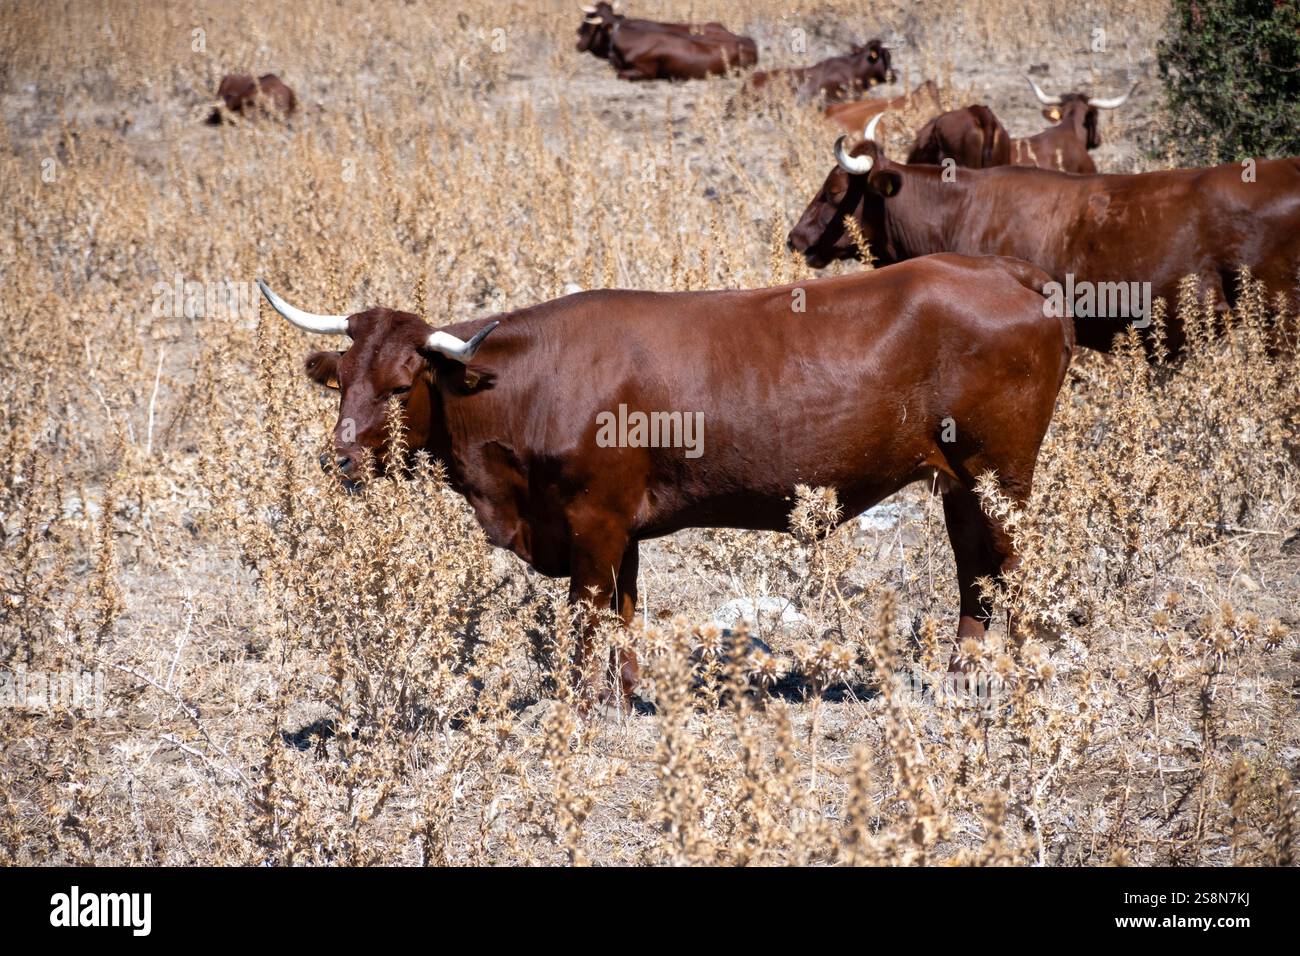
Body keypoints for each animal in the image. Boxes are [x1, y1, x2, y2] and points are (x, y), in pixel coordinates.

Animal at [257, 256, 1072, 704]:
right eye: (341, 383)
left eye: (401, 387)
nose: (339, 459)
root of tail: (1002, 269)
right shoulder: (621, 526)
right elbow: (623, 612)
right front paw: (622, 694)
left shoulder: (591, 522)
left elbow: (588, 617)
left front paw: (580, 704)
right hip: (959, 479)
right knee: (974, 569)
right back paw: (965, 673)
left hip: (1001, 476)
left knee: (1014, 567)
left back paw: (1022, 675)